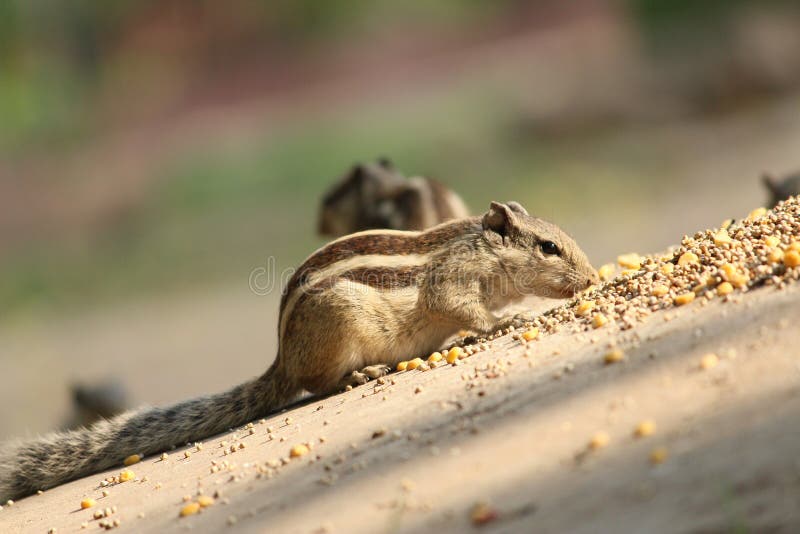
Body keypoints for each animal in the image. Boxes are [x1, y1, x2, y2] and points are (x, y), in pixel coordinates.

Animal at [0, 201, 597, 501]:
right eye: (549, 247)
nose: (591, 280)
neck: (478, 247)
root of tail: (283, 360)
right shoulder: (450, 282)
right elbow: (461, 308)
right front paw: (505, 320)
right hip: (340, 329)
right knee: (318, 383)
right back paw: (358, 376)